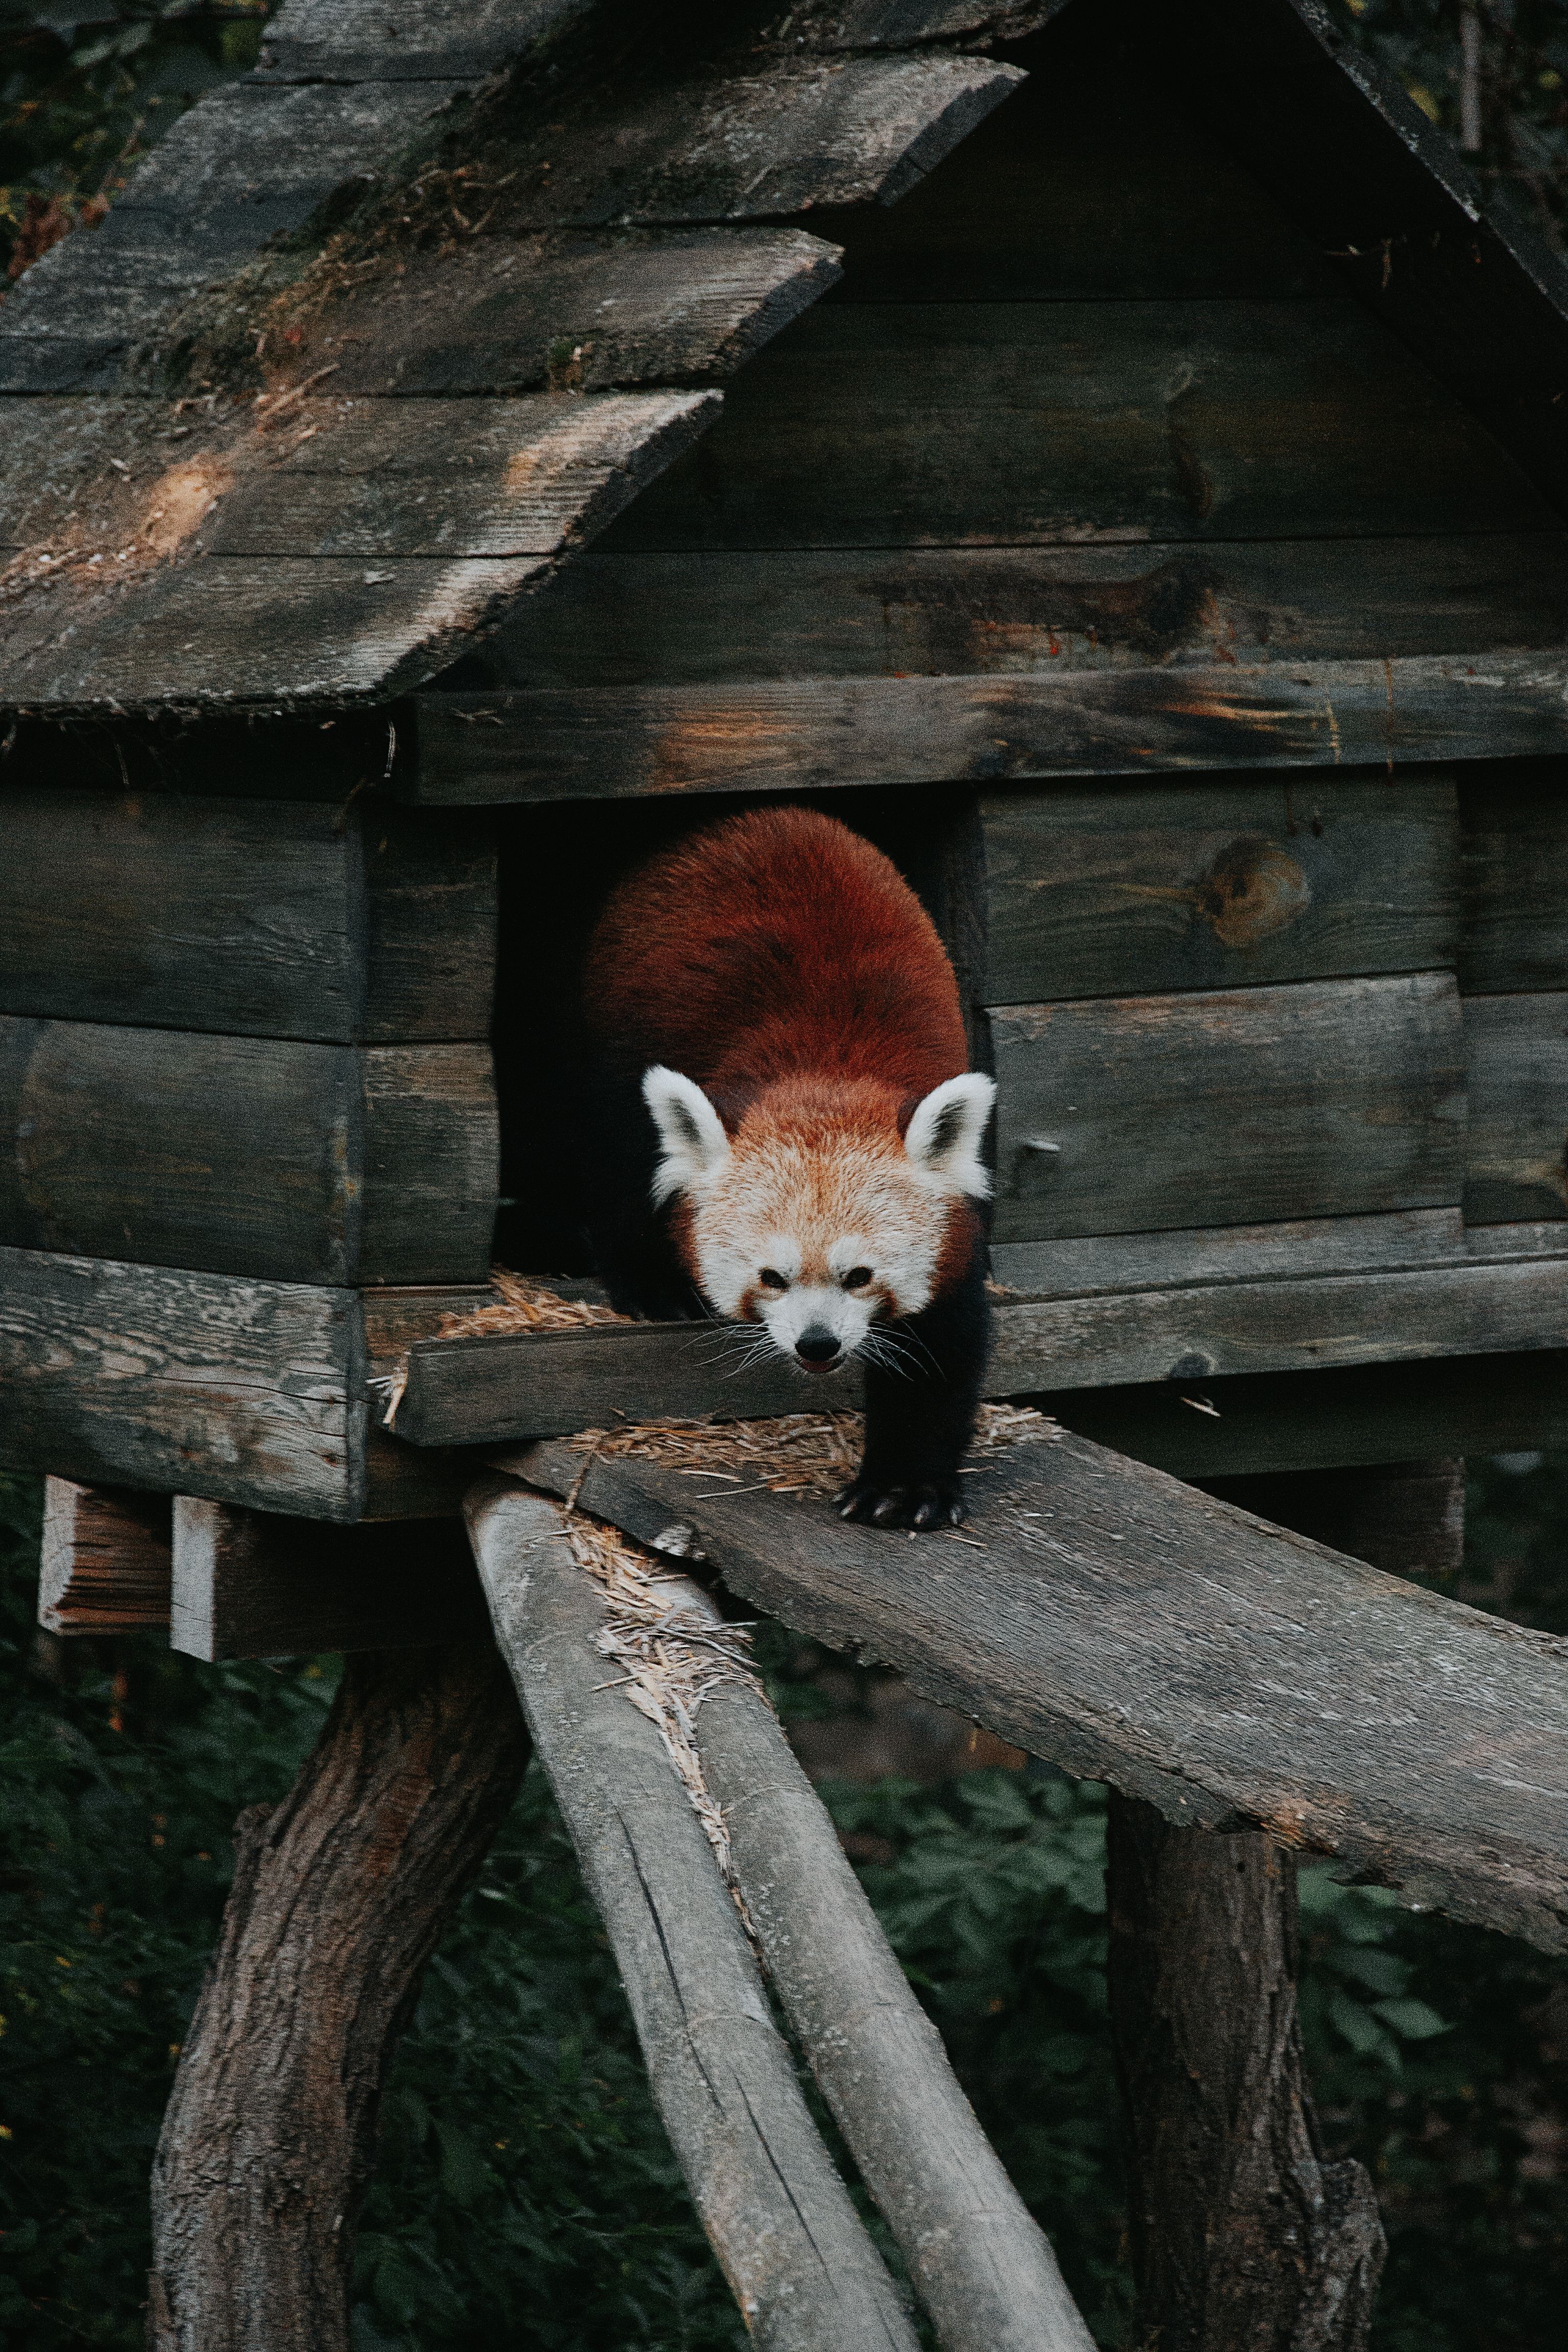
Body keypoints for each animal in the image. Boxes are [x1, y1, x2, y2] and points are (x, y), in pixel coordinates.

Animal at [577, 805, 995, 1530]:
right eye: (771, 1277)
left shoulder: (953, 1230)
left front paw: (904, 1486)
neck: (826, 1072)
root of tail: (759, 814)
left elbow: (942, 1345)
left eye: (860, 1276)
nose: (817, 1345)